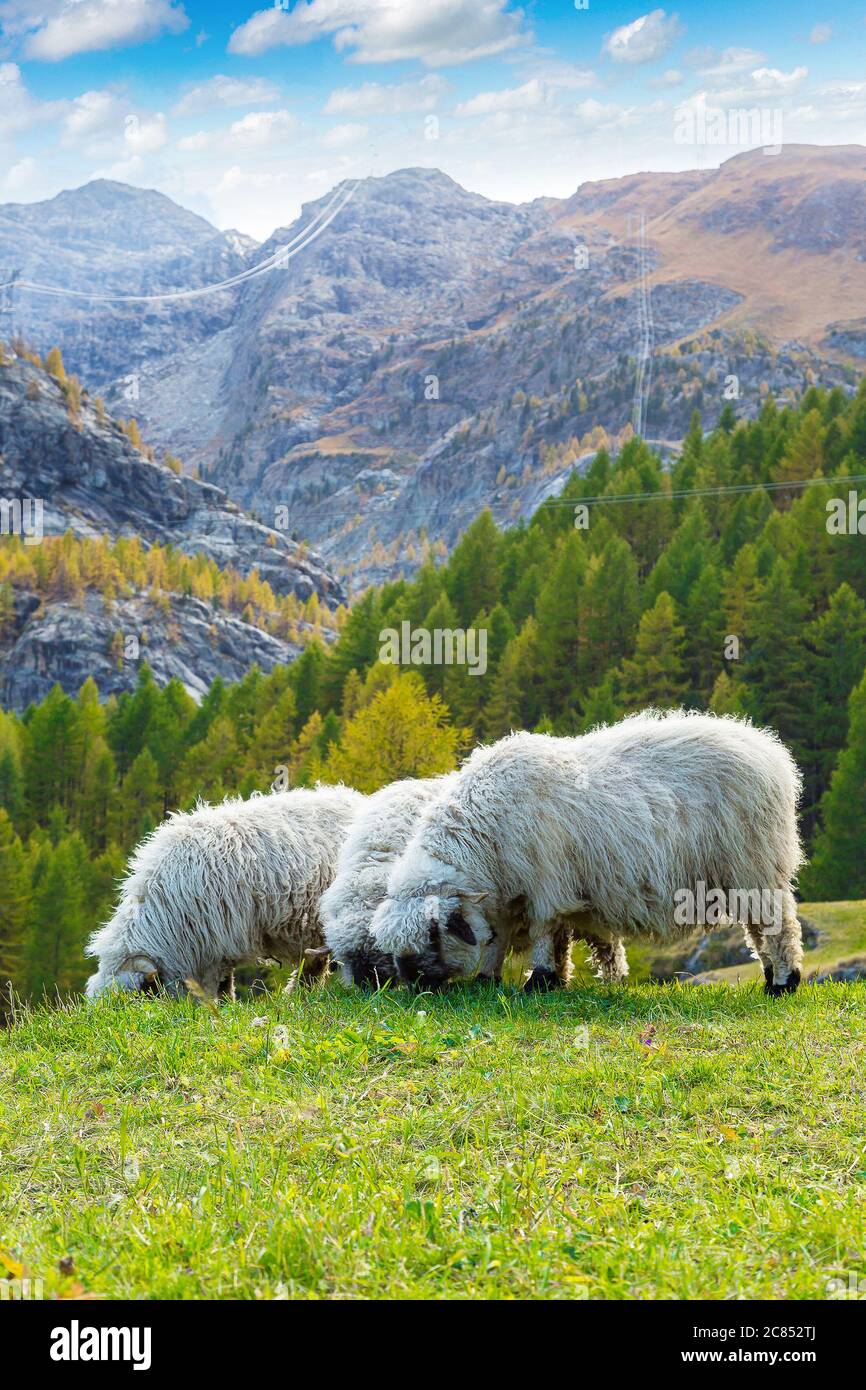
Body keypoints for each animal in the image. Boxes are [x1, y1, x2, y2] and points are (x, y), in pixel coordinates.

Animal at [370, 710, 803, 996]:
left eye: (432, 936)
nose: (414, 985)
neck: (484, 830)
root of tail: (766, 749)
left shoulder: (545, 884)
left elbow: (545, 933)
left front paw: (540, 982)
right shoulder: (511, 895)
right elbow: (504, 939)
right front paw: (495, 979)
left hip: (755, 861)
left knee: (778, 925)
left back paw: (783, 982)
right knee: (757, 926)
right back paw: (769, 975)